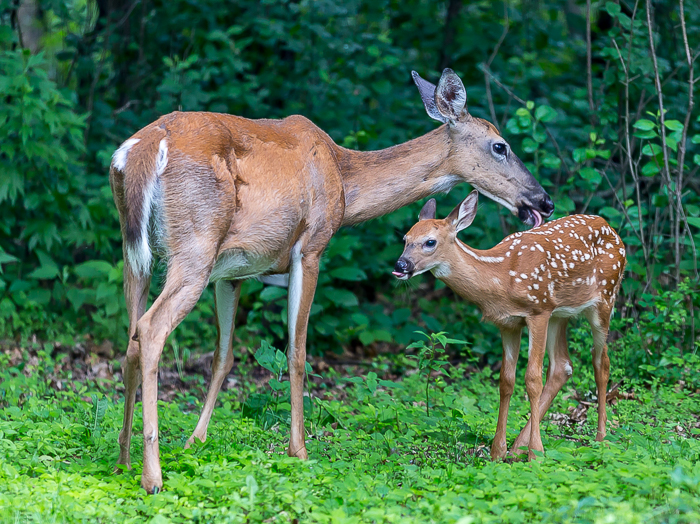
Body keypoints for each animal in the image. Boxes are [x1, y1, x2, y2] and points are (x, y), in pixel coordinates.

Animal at [109, 68, 554, 493]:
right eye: (500, 146)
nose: (544, 201)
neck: (344, 176)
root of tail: (142, 149)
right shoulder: (310, 246)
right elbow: (297, 352)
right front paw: (299, 450)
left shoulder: (234, 271)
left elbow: (224, 356)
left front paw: (195, 441)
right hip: (195, 244)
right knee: (151, 329)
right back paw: (153, 476)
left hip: (136, 253)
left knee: (131, 337)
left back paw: (123, 459)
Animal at [392, 191, 625, 460]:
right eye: (405, 238)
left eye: (430, 242)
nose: (400, 266)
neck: (502, 277)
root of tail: (611, 228)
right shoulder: (508, 323)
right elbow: (506, 381)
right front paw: (498, 451)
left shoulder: (538, 311)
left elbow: (532, 379)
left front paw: (536, 453)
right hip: (560, 313)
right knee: (562, 365)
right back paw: (517, 447)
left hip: (605, 298)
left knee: (601, 362)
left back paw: (600, 438)